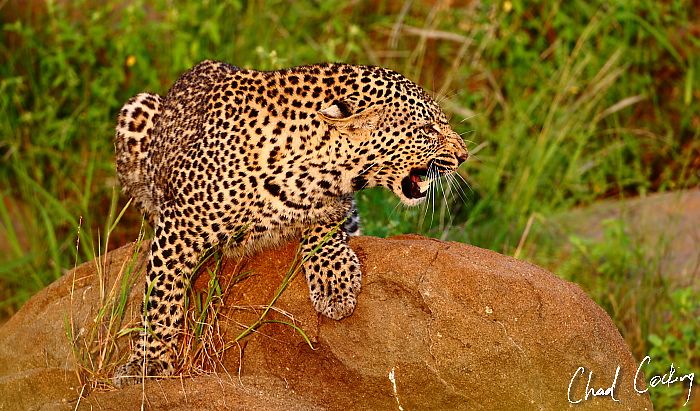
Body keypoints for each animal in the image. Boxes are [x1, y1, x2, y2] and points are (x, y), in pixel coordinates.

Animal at [112, 60, 468, 387]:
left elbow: (323, 231)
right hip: (136, 108)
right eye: (427, 130)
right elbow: (160, 294)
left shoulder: (340, 205)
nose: (464, 155)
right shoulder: (179, 225)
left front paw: (335, 286)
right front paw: (148, 361)